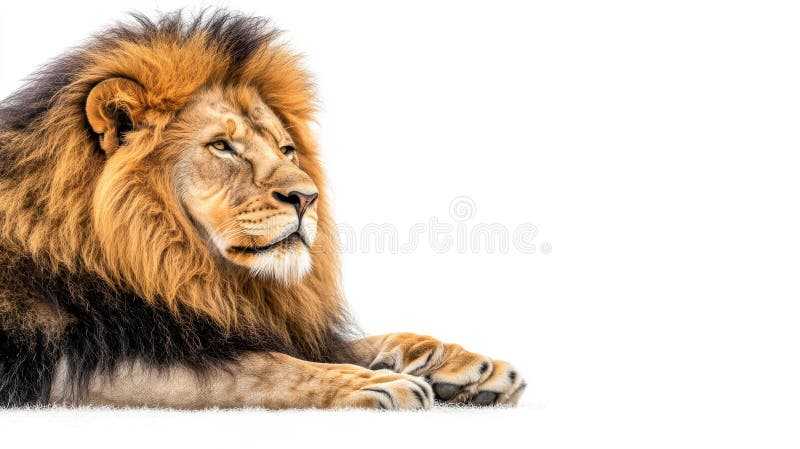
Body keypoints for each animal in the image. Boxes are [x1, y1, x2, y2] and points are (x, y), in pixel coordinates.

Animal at [0, 10, 526, 409]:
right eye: (223, 146)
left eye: (286, 149)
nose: (307, 198)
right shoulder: (78, 363)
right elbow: (261, 368)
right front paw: (375, 382)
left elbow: (323, 345)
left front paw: (465, 365)